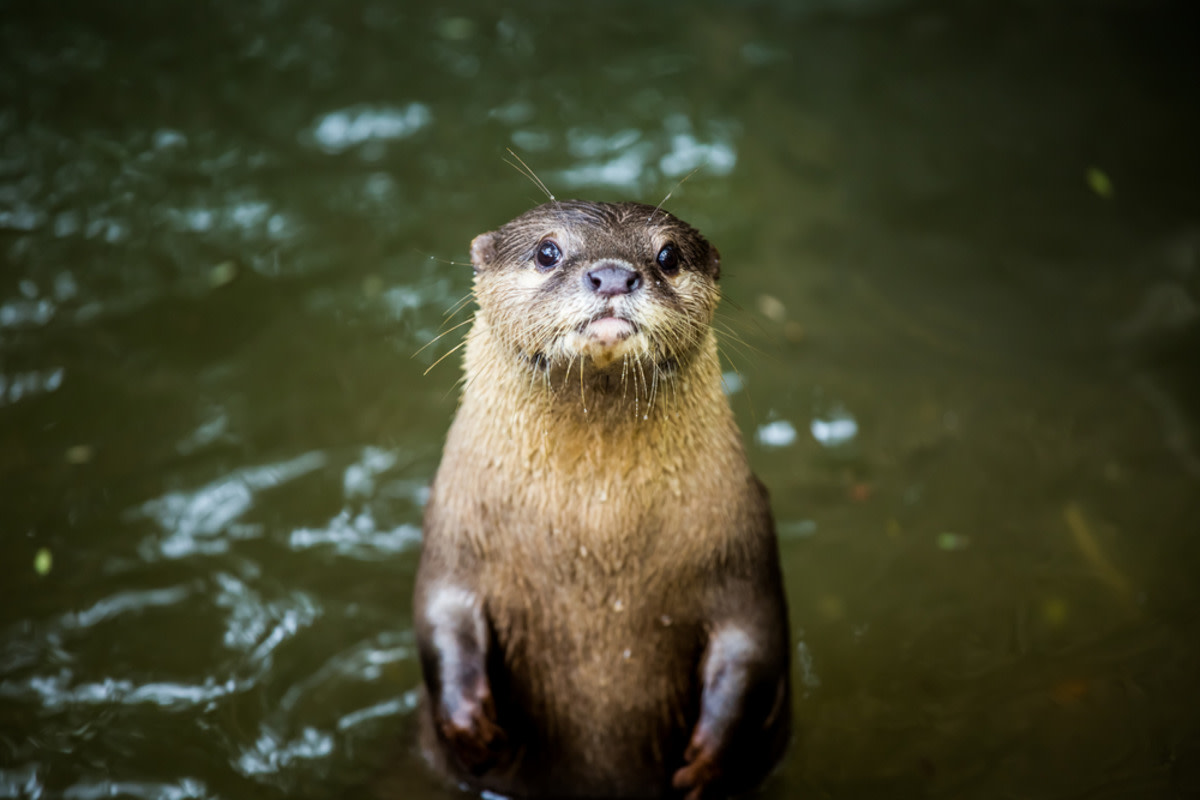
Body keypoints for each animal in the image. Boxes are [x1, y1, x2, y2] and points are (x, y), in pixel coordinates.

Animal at [414, 200, 791, 799]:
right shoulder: (454, 525)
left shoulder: (744, 543)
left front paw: (706, 764)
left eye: (667, 255)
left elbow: (752, 644)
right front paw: (471, 727)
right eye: (547, 251)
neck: (594, 529)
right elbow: (440, 614)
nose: (613, 275)